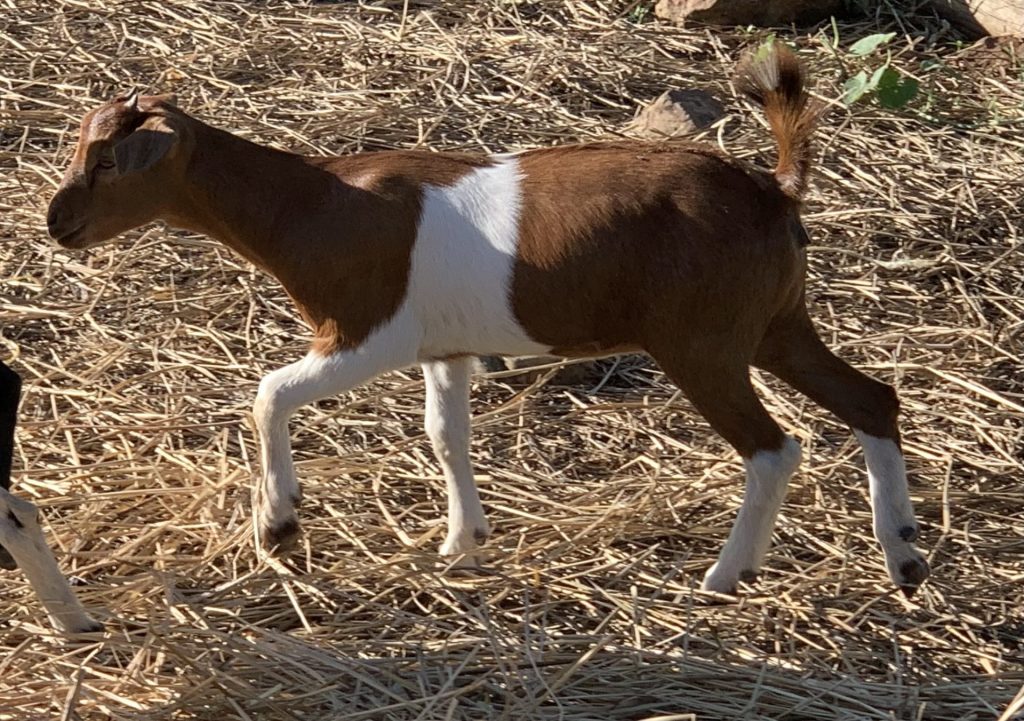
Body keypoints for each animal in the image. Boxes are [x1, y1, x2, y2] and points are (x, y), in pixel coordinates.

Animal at [45, 44, 928, 601]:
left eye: (105, 161)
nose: (58, 224)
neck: (314, 206)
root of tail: (773, 191)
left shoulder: (370, 332)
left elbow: (268, 391)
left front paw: (280, 524)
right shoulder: (447, 345)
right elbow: (446, 434)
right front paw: (461, 542)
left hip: (703, 342)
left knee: (774, 447)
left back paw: (725, 577)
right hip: (774, 320)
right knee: (871, 399)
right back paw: (905, 555)